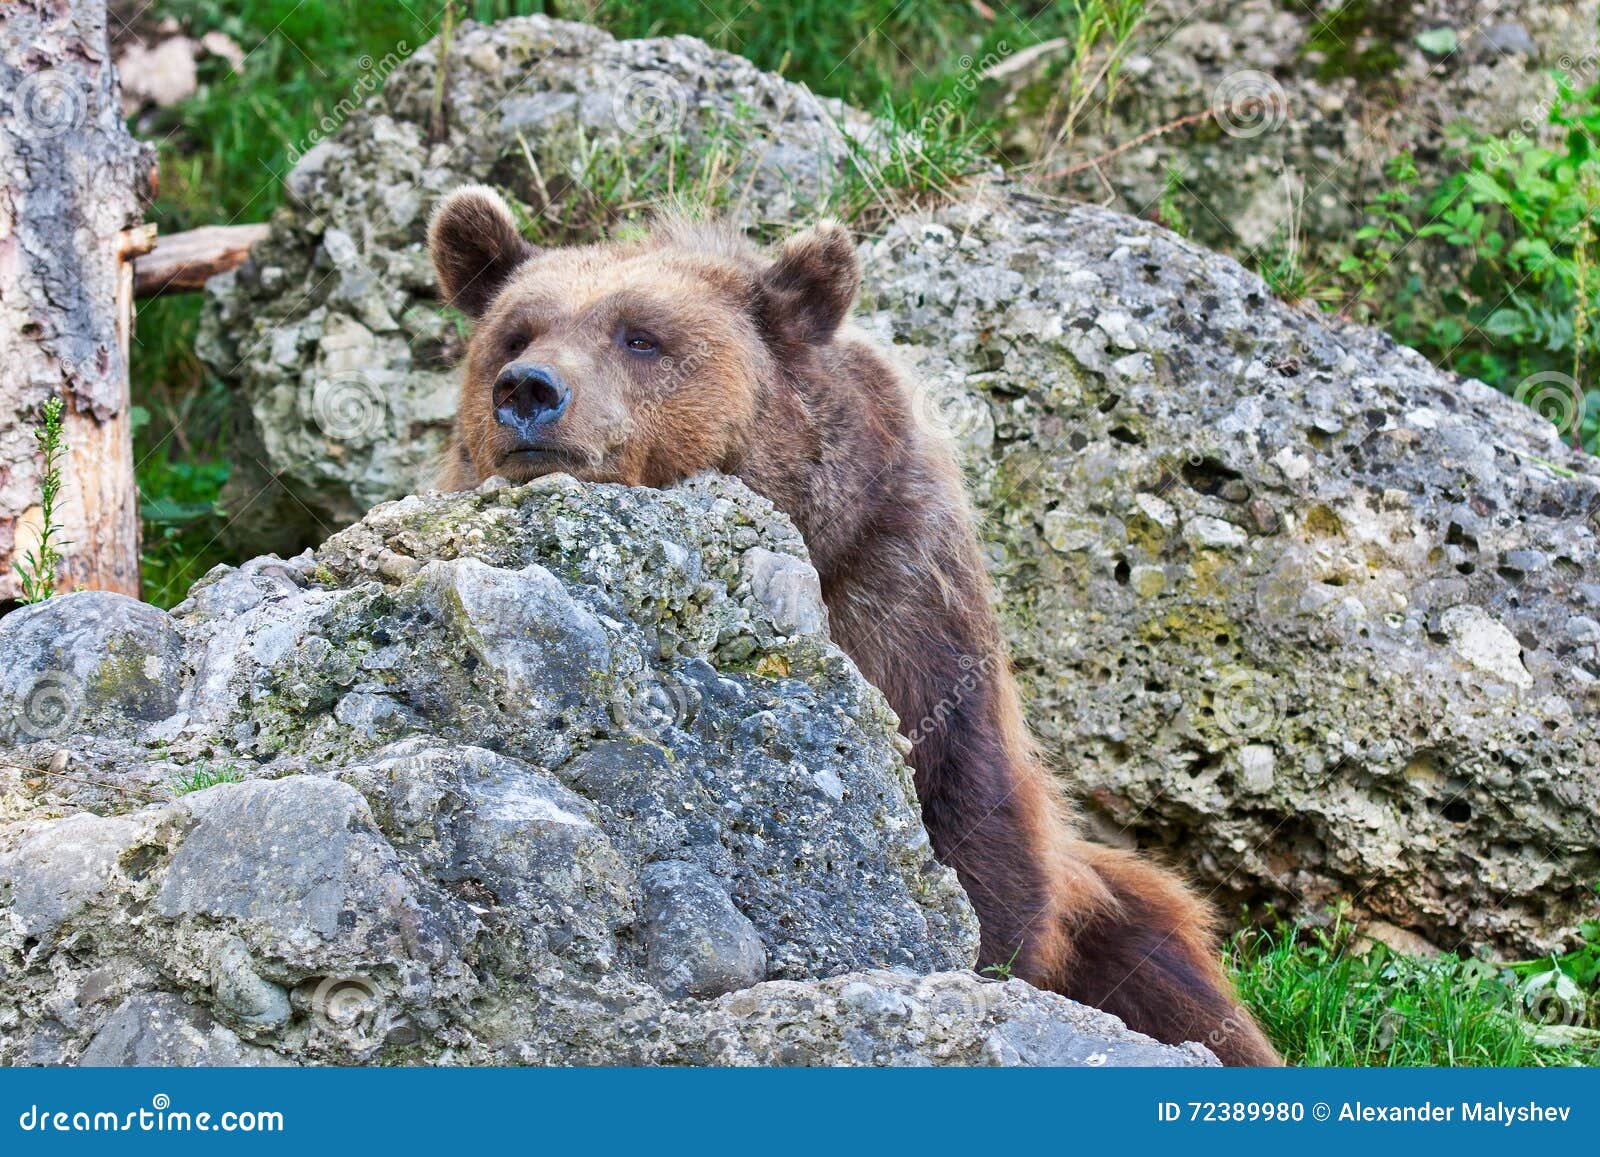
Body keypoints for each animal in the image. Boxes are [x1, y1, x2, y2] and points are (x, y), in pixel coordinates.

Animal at [427, 185, 1281, 1066]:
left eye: (641, 336)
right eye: (516, 331)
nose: (528, 390)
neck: (808, 527)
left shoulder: (903, 599)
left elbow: (968, 816)